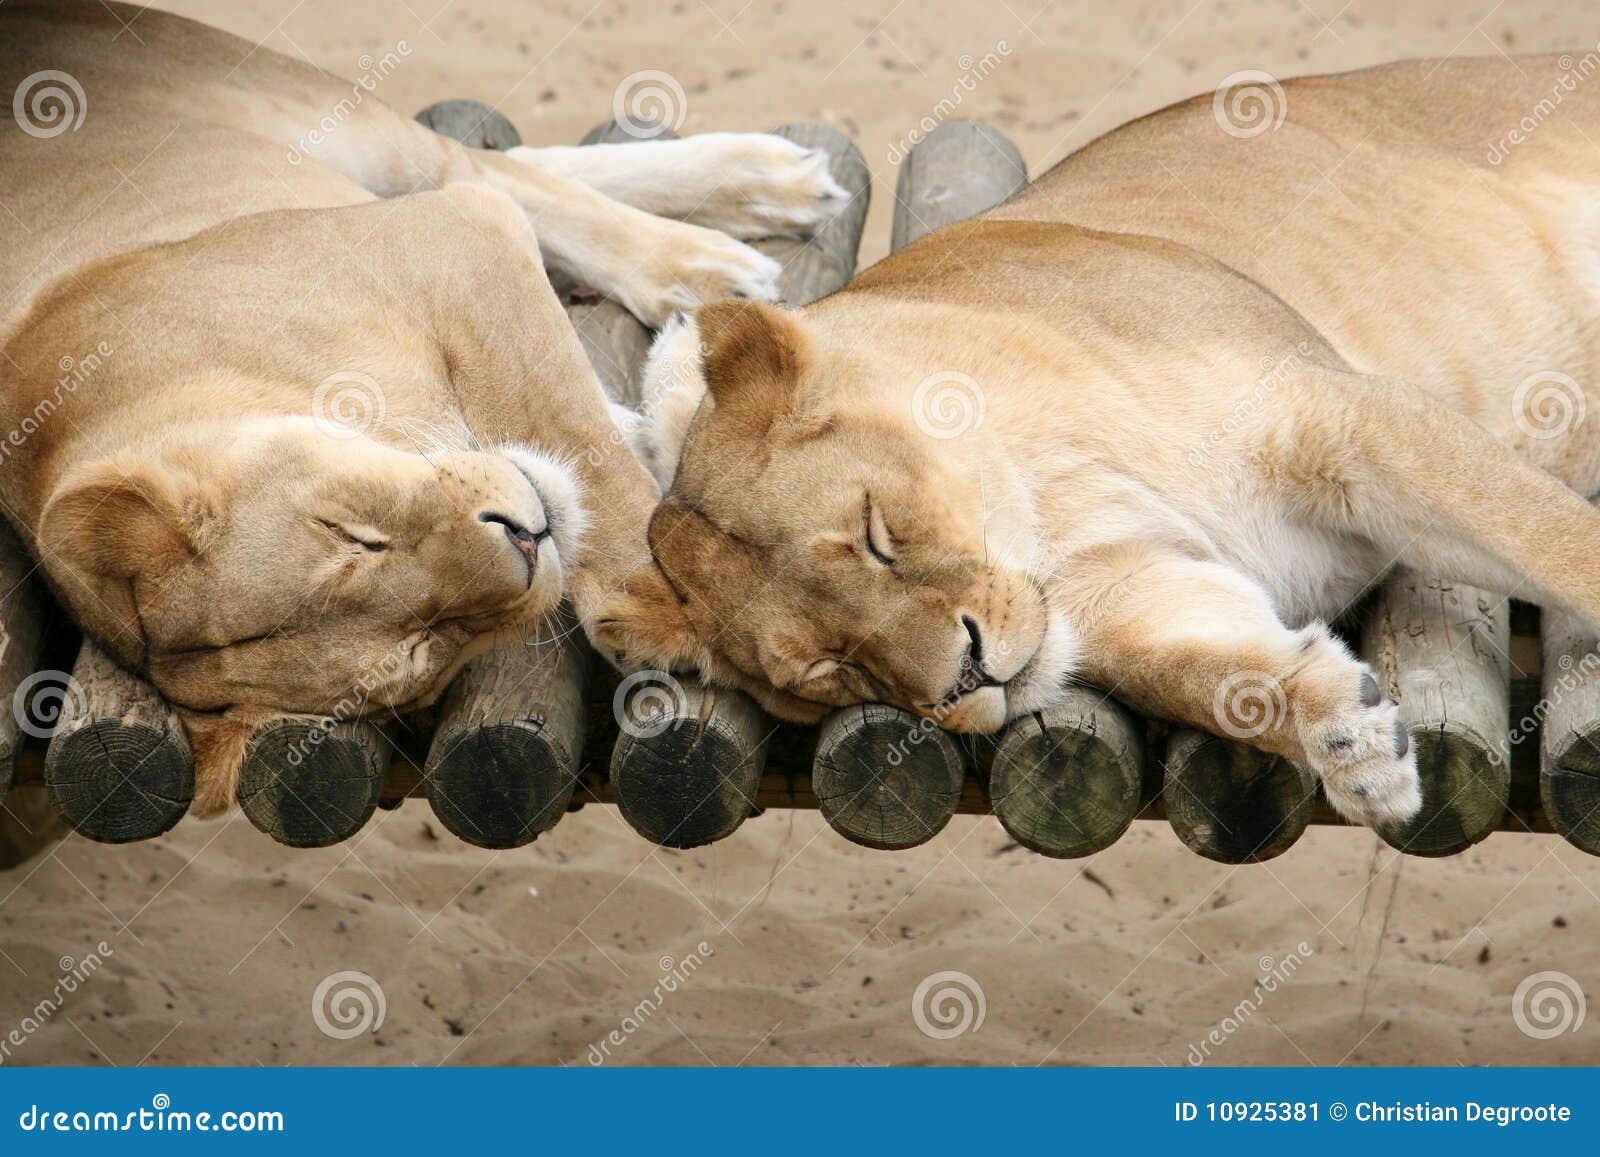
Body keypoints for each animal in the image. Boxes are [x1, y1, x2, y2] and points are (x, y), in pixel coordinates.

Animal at [0, 2, 845, 812]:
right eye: (429, 642)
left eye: (350, 533)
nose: (528, 537)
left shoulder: (454, 240)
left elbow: (585, 442)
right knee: (510, 169)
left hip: (329, 123)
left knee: (479, 166)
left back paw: (731, 232)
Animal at [610, 55, 1600, 828]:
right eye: (830, 670)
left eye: (874, 536)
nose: (966, 683)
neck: (1047, 503)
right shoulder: (1140, 590)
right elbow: (1207, 672)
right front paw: (1350, 737)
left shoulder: (1344, 411)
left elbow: (1558, 544)